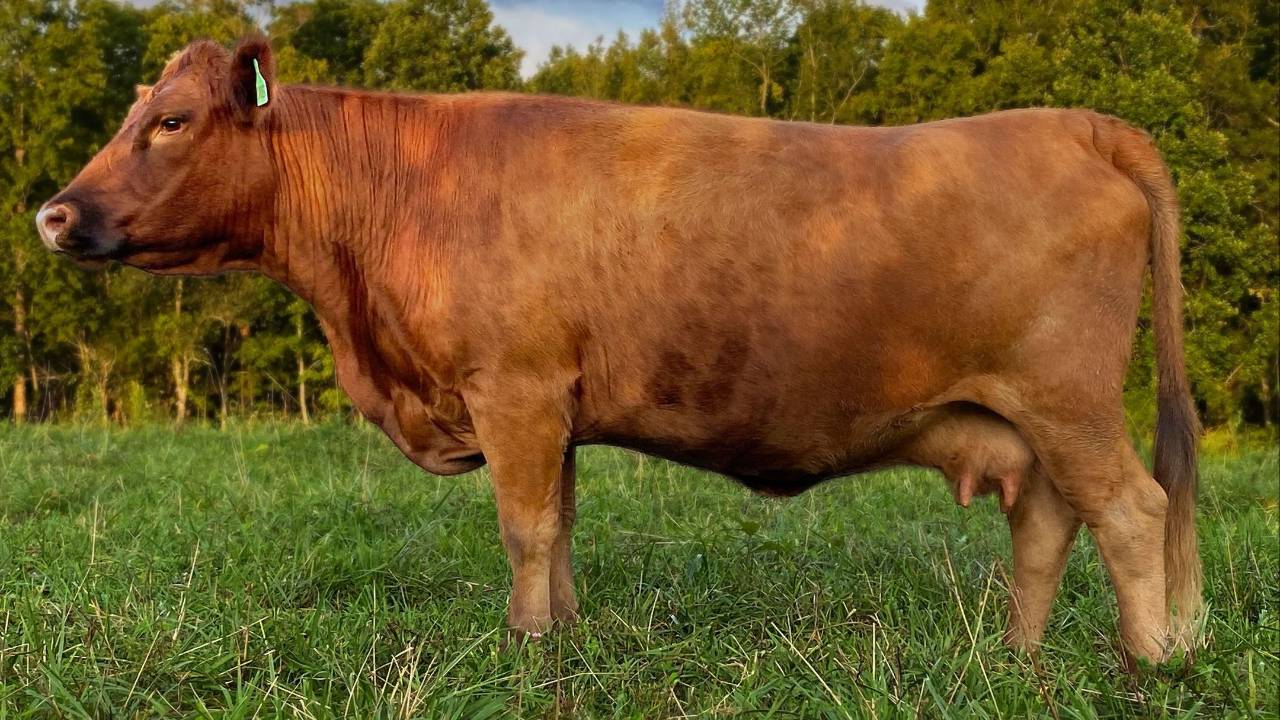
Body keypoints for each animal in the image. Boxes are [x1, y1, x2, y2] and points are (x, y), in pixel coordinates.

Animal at [36, 37, 1201, 666]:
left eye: (172, 121)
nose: (54, 214)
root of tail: (1072, 122)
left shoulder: (511, 389)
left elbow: (521, 529)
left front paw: (523, 650)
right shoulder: (551, 406)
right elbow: (557, 530)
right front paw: (561, 639)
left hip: (1069, 399)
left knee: (1134, 510)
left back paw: (1147, 664)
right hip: (1028, 417)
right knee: (1047, 520)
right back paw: (1017, 656)